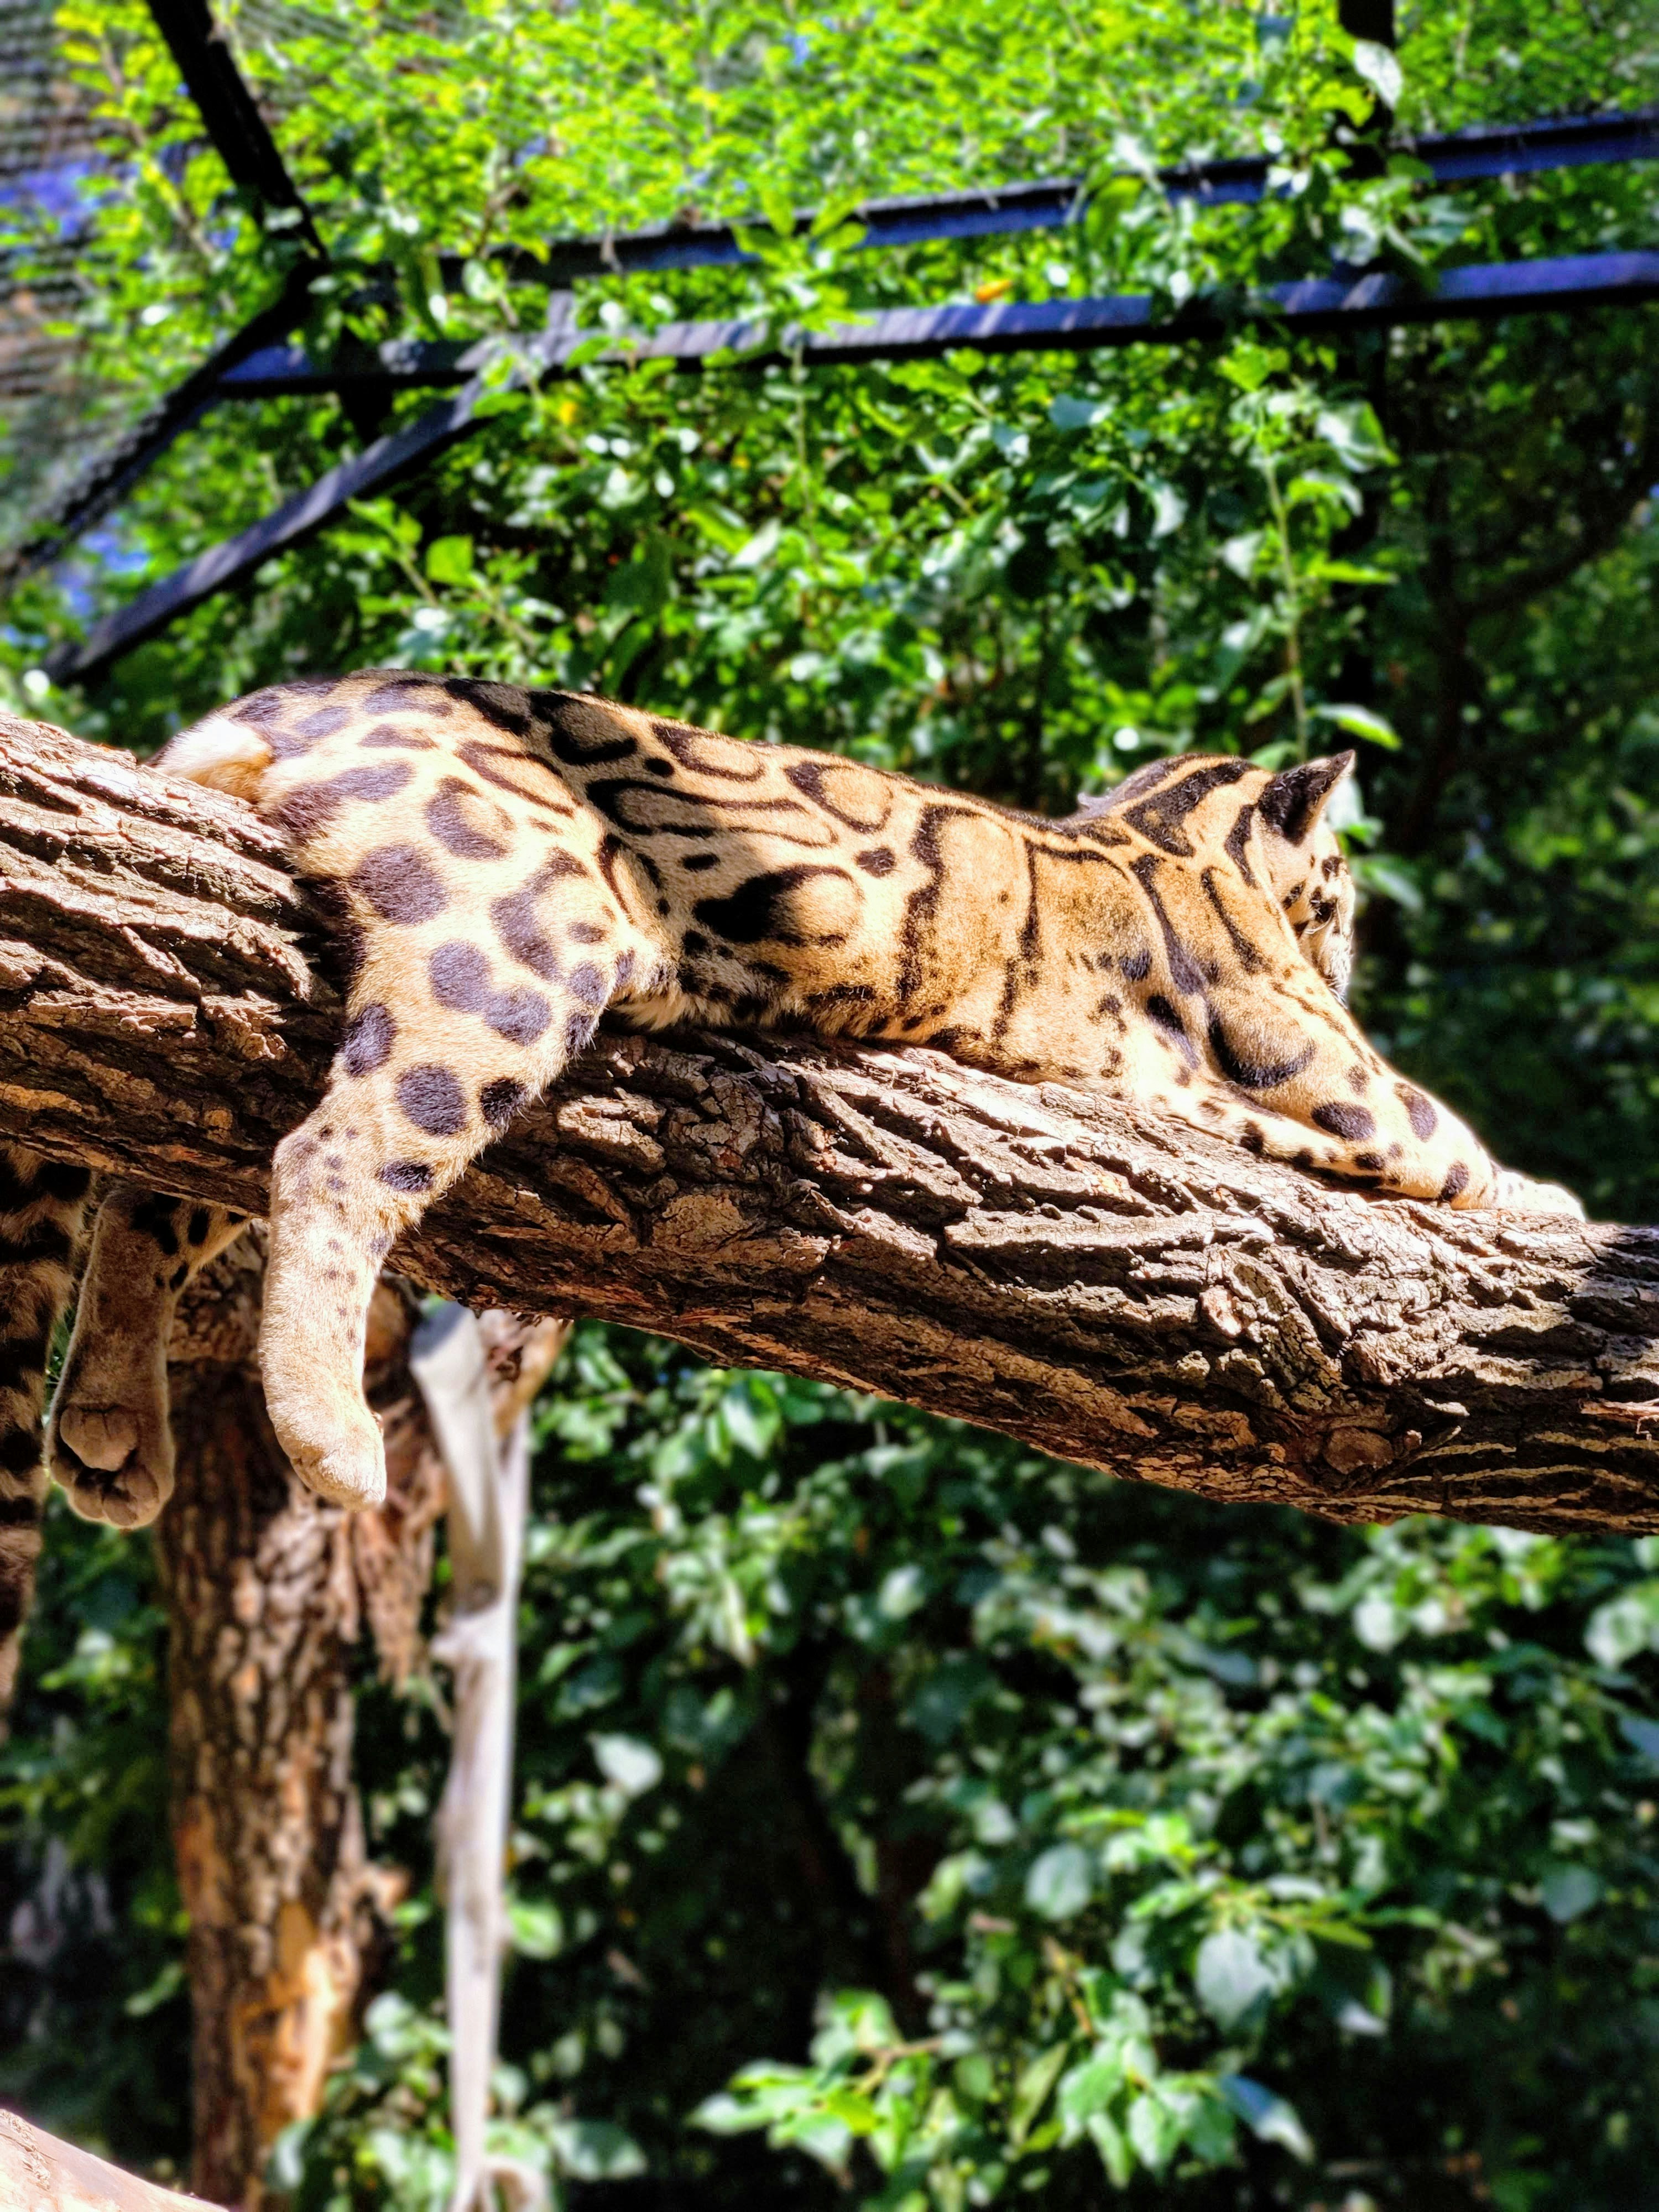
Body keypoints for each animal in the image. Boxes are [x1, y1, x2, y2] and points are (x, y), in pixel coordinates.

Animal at [0, 669, 1582, 1712]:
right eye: (1341, 883)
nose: (1354, 934)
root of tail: (285, 696)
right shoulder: (1319, 1059)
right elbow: (1447, 1136)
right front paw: (1559, 1205)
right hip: (508, 934)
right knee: (332, 1154)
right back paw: (328, 1433)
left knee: (154, 1188)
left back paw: (110, 1427)